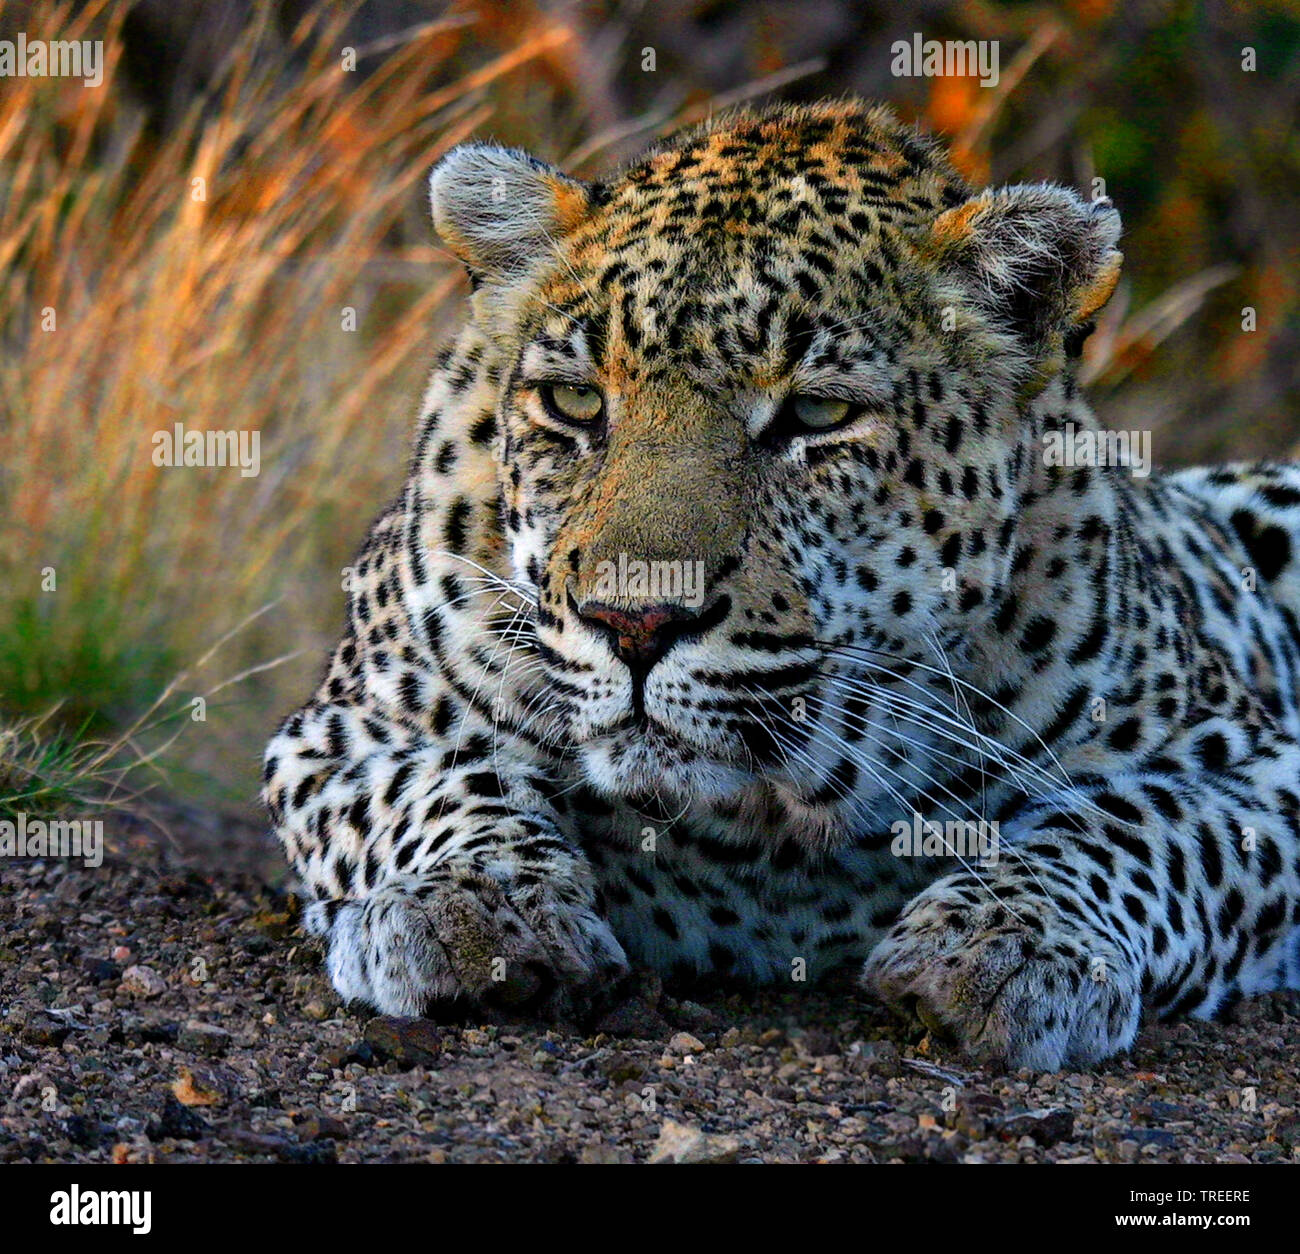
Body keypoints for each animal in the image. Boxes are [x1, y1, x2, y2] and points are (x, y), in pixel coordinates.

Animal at [262, 100, 1300, 1070]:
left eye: (818, 415)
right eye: (575, 400)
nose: (633, 624)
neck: (762, 840)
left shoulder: (1252, 772)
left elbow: (1125, 828)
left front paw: (1005, 945)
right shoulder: (343, 726)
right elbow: (438, 784)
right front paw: (474, 906)